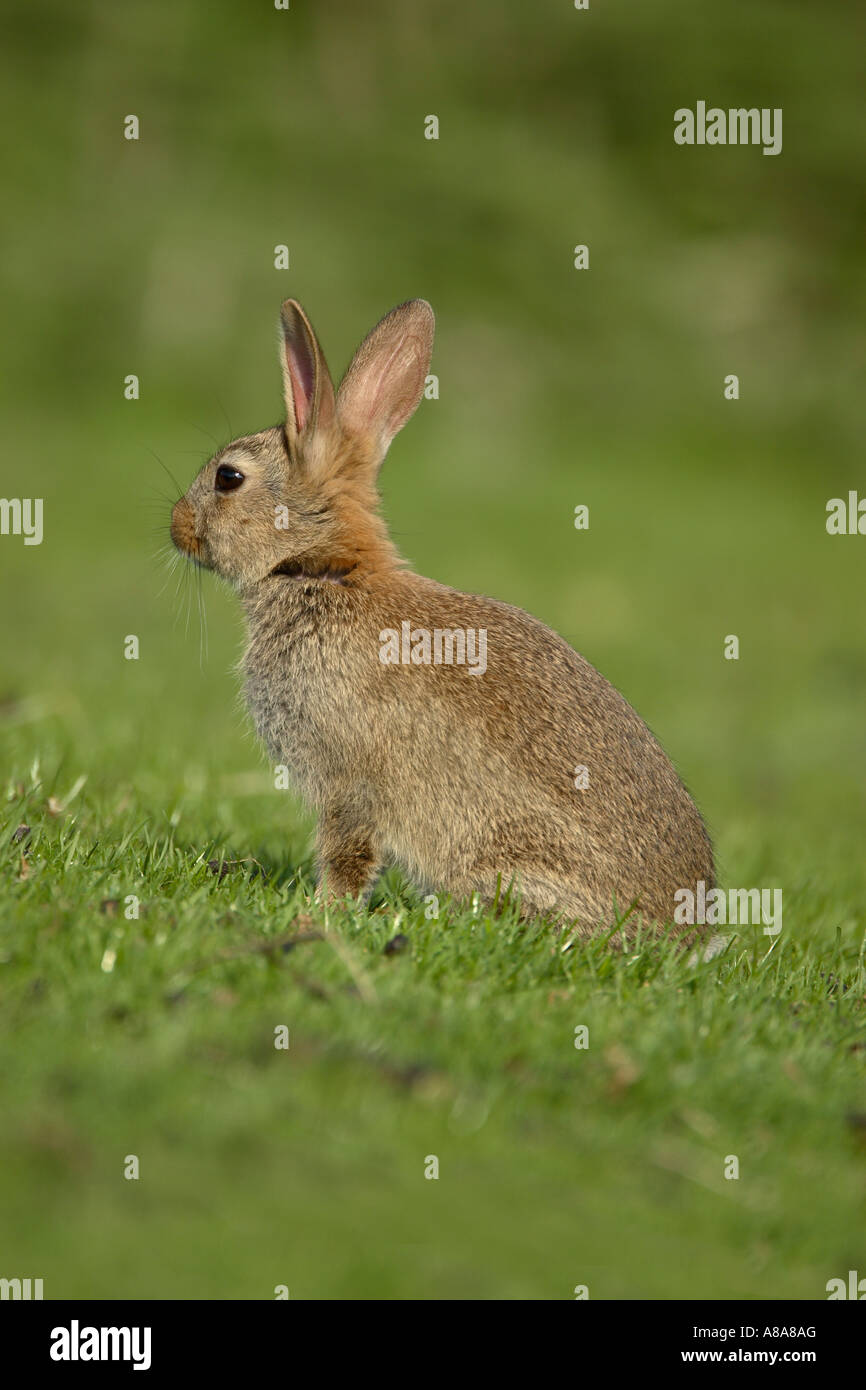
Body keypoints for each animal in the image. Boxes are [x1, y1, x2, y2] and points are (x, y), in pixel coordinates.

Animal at [170, 297, 715, 939]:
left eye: (227, 478)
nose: (176, 526)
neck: (322, 570)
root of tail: (689, 936)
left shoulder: (350, 778)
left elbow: (348, 850)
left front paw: (323, 910)